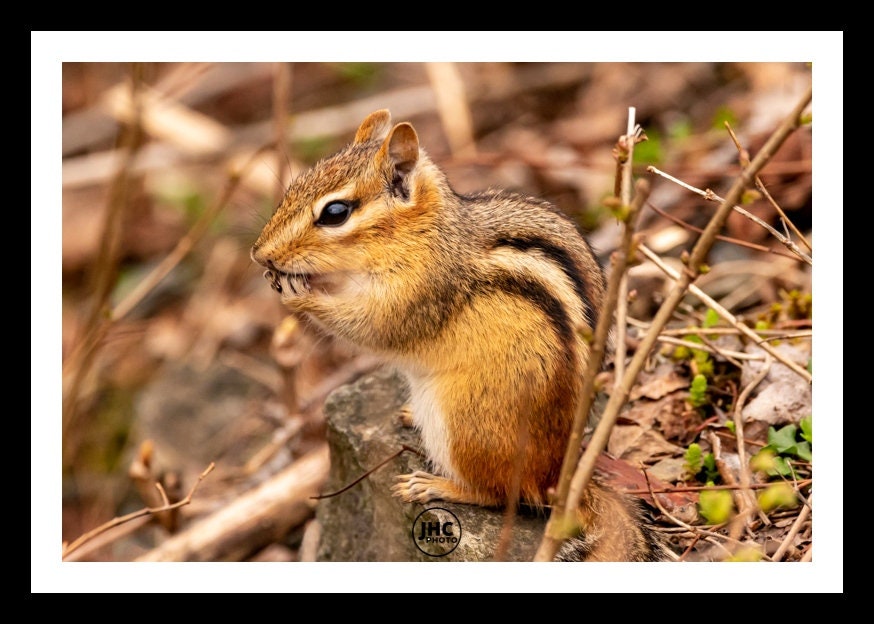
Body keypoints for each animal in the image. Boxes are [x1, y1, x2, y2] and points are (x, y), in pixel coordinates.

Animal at [251, 109, 667, 561]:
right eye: (292, 188)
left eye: (335, 213)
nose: (259, 254)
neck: (424, 233)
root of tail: (558, 476)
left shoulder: (418, 293)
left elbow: (370, 325)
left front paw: (300, 293)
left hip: (462, 422)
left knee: (501, 495)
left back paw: (436, 485)